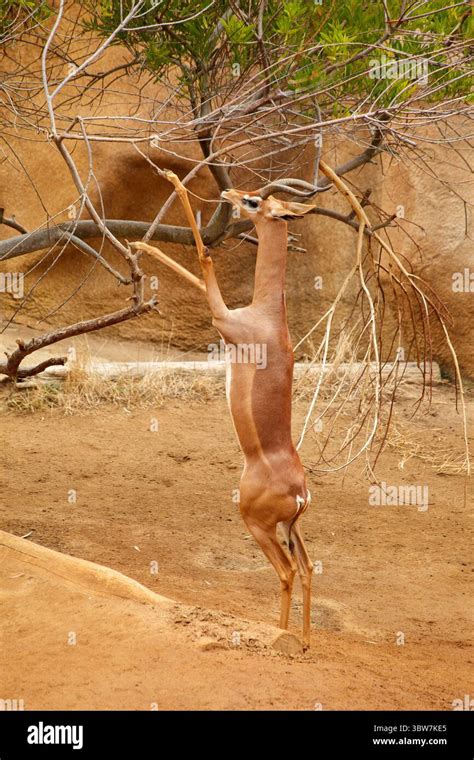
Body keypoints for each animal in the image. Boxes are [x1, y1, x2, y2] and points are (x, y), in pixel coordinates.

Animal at [132, 173, 318, 649]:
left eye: (255, 202)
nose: (229, 194)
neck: (267, 316)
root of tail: (300, 493)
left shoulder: (222, 319)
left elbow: (204, 258)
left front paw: (147, 231)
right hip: (292, 528)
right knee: (309, 569)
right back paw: (305, 641)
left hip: (258, 524)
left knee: (287, 572)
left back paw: (278, 636)